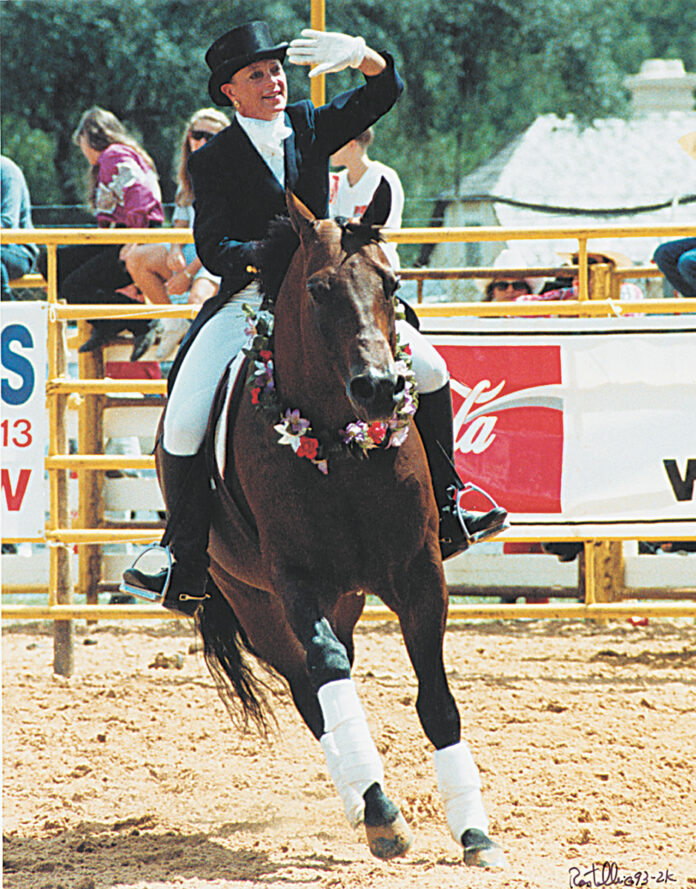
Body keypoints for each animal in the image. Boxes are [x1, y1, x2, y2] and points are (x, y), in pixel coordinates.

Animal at [160, 185, 506, 868]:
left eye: (392, 281)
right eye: (318, 290)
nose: (379, 389)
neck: (342, 450)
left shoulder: (420, 576)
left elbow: (437, 701)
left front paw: (474, 833)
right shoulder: (293, 582)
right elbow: (325, 672)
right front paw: (382, 816)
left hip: (345, 598)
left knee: (329, 677)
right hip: (254, 600)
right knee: (311, 687)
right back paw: (367, 804)